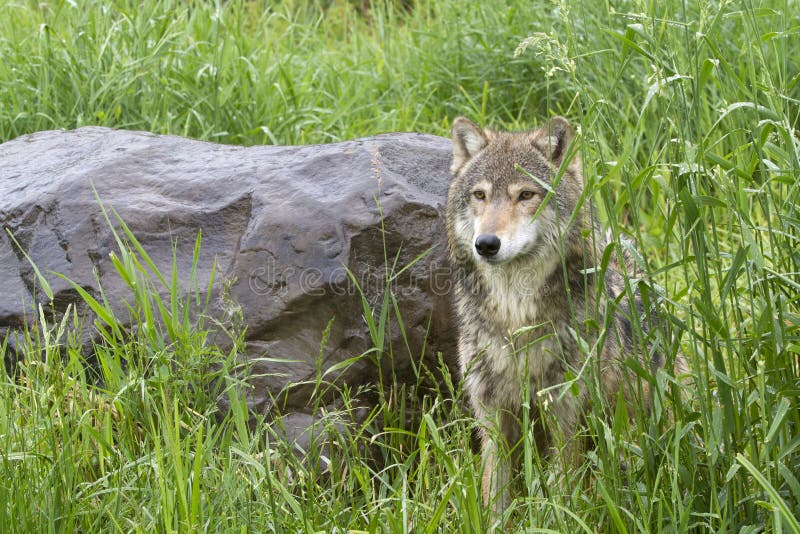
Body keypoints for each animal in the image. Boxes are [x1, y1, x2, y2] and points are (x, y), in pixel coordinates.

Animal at [445, 116, 680, 514]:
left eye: (526, 195)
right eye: (480, 195)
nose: (486, 244)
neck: (517, 320)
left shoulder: (565, 416)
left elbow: (560, 500)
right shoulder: (492, 419)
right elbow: (495, 502)